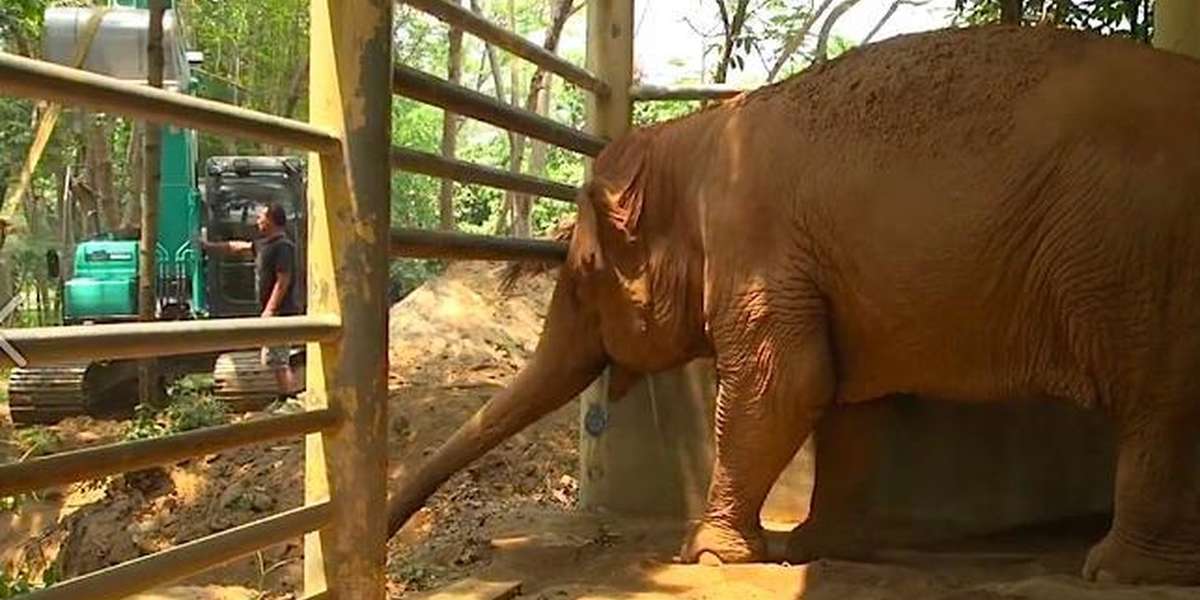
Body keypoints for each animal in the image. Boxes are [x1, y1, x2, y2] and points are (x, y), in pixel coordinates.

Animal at [386, 24, 1200, 586]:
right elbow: (845, 402)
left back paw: (1120, 570)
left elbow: (784, 386)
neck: (691, 143)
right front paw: (818, 547)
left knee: (1159, 403)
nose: (390, 537)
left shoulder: (756, 242)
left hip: (1148, 260)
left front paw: (705, 554)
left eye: (583, 274)